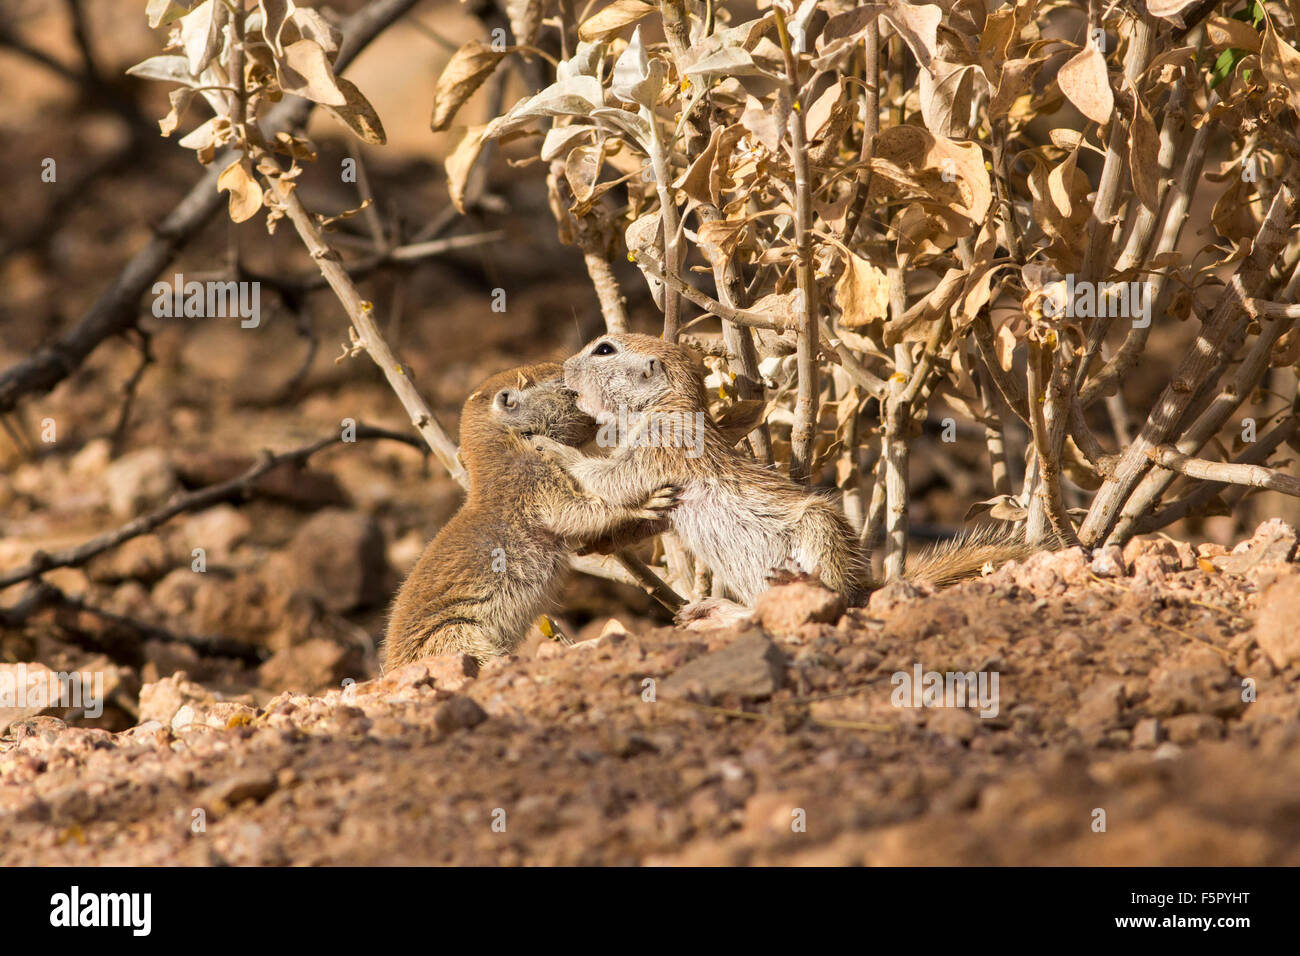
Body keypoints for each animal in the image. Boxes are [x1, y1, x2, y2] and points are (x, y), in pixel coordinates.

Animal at [383, 362, 677, 668]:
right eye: (562, 381)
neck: (508, 445)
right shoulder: (532, 478)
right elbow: (573, 511)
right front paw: (647, 502)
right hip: (457, 634)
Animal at [529, 333, 1036, 611]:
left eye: (604, 349)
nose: (564, 367)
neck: (669, 406)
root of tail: (866, 586)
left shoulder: (662, 444)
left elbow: (612, 477)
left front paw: (552, 448)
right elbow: (640, 514)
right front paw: (600, 539)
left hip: (820, 529)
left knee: (835, 598)